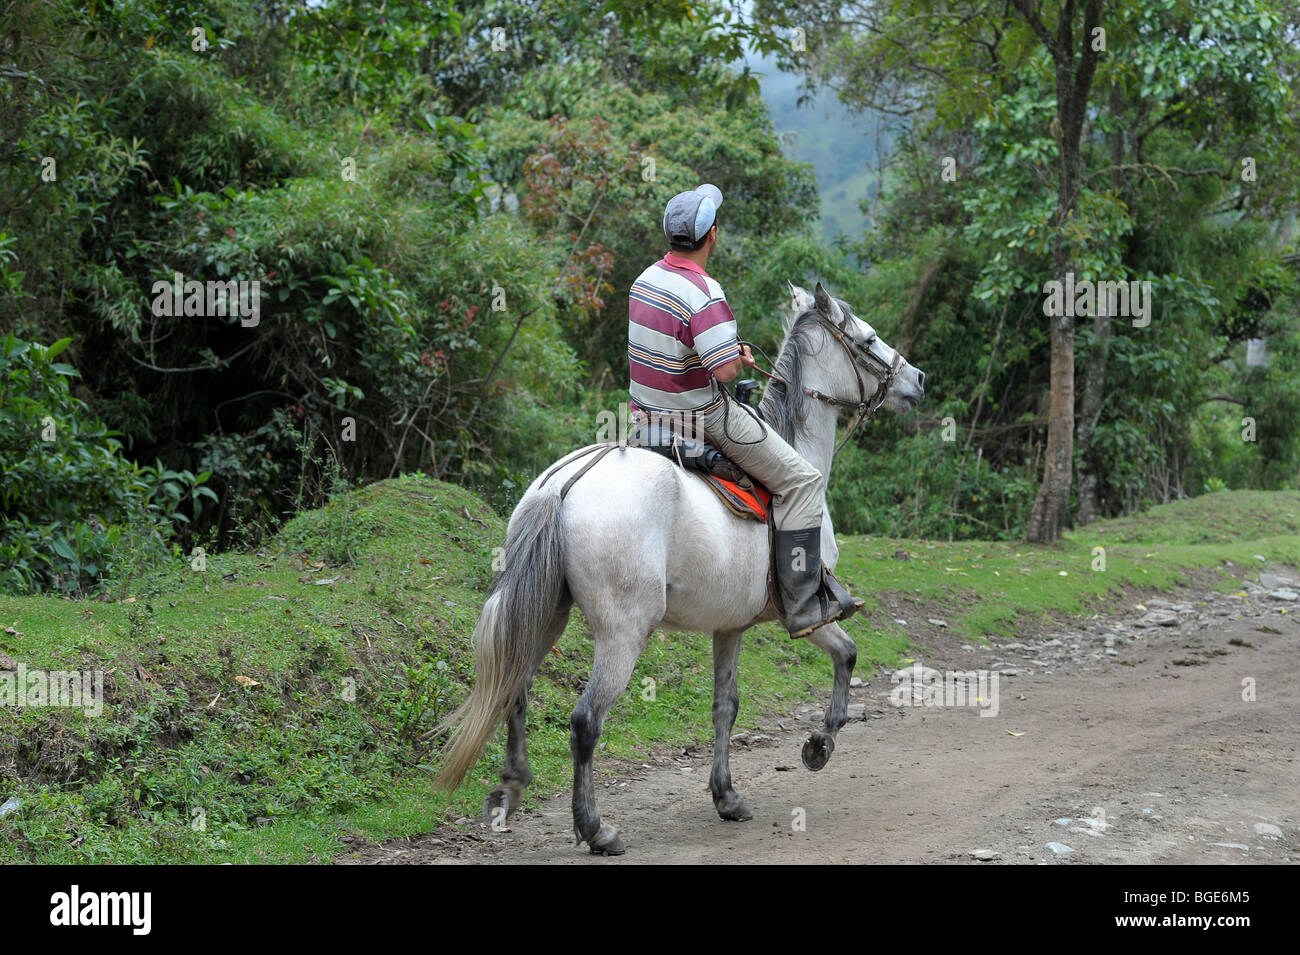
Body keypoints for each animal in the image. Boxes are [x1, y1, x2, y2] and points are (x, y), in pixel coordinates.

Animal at [433, 281, 926, 855]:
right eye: (868, 338)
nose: (917, 380)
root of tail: (566, 483)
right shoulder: (803, 612)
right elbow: (846, 656)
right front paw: (818, 745)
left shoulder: (731, 626)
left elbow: (724, 706)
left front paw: (726, 796)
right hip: (623, 633)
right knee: (585, 722)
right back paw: (595, 829)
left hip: (546, 615)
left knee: (515, 687)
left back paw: (511, 789)